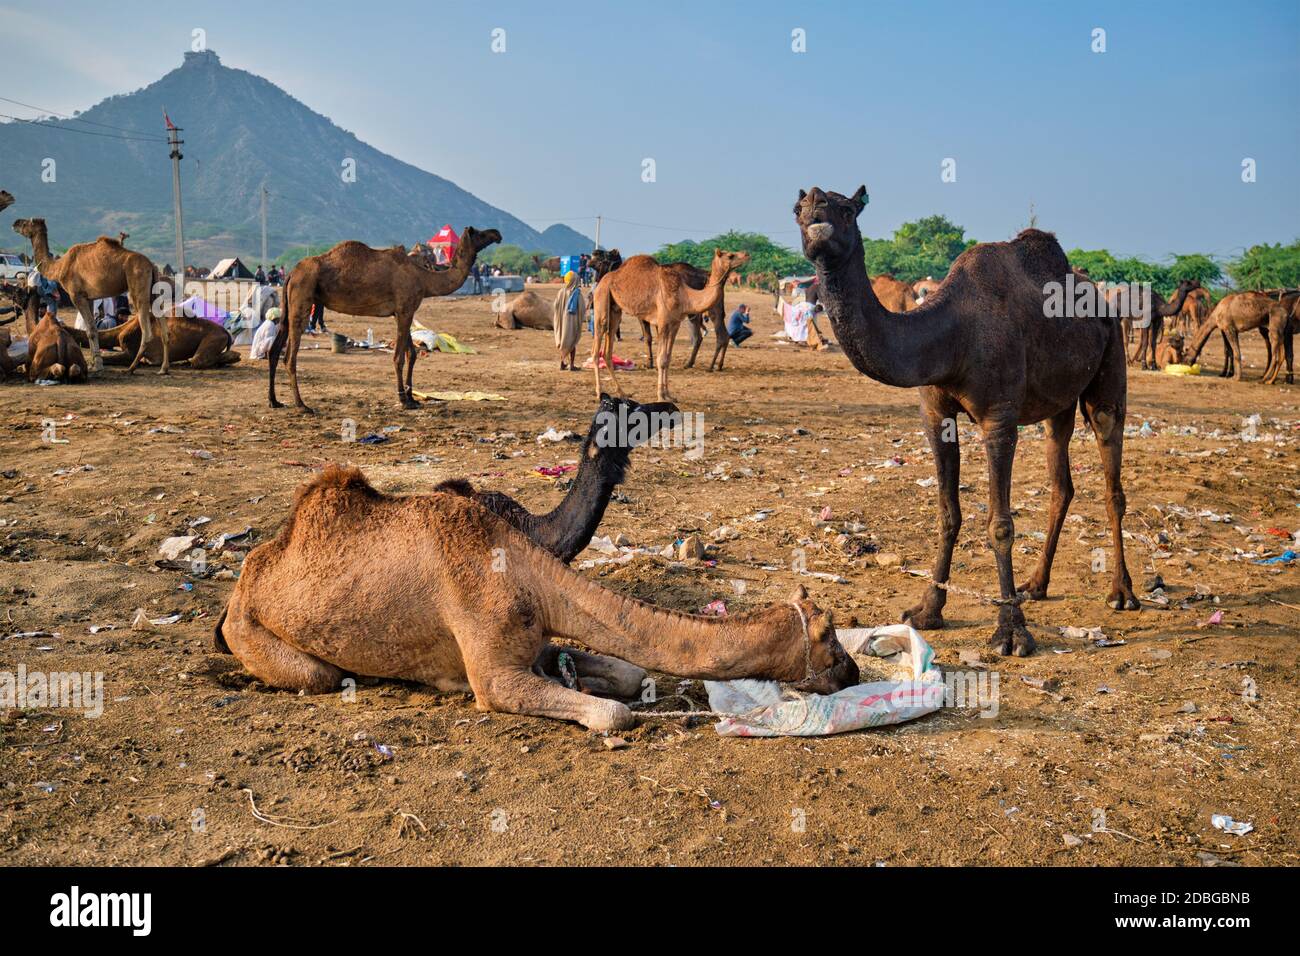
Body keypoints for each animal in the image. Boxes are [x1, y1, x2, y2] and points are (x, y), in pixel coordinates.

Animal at [11, 218, 169, 375]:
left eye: (26, 223)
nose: (15, 223)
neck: (60, 266)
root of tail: (151, 265)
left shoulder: (76, 295)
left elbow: (91, 330)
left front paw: (98, 365)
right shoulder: (89, 297)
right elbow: (91, 328)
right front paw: (94, 363)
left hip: (138, 287)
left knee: (146, 331)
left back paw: (131, 368)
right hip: (154, 289)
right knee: (163, 328)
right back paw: (163, 368)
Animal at [215, 465, 858, 730]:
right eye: (829, 637)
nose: (853, 671)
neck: (528, 577)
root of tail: (243, 582)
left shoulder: (535, 640)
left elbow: (627, 674)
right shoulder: (493, 673)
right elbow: (615, 713)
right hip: (254, 630)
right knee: (317, 675)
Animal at [268, 227, 501, 412]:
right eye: (479, 233)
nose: (497, 234)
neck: (424, 278)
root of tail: (292, 272)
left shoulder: (403, 312)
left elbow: (411, 354)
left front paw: (412, 398)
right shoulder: (405, 309)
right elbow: (399, 357)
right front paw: (403, 400)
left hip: (289, 305)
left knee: (274, 350)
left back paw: (274, 401)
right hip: (302, 297)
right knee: (290, 356)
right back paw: (301, 405)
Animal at [591, 248, 749, 402]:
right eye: (730, 255)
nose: (747, 254)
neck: (685, 295)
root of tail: (602, 281)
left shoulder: (675, 324)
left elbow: (667, 358)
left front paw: (669, 395)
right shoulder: (662, 323)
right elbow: (661, 359)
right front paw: (661, 395)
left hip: (615, 311)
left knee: (607, 350)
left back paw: (622, 393)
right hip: (602, 300)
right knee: (597, 346)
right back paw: (599, 393)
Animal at [795, 186, 1138, 657]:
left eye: (847, 209)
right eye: (797, 210)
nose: (816, 214)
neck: (952, 333)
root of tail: (1101, 299)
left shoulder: (998, 418)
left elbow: (1001, 524)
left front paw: (1011, 632)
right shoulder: (934, 414)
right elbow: (947, 512)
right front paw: (927, 609)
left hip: (1111, 364)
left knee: (1112, 478)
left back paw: (1122, 592)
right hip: (1059, 403)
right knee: (1062, 482)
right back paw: (1036, 584)